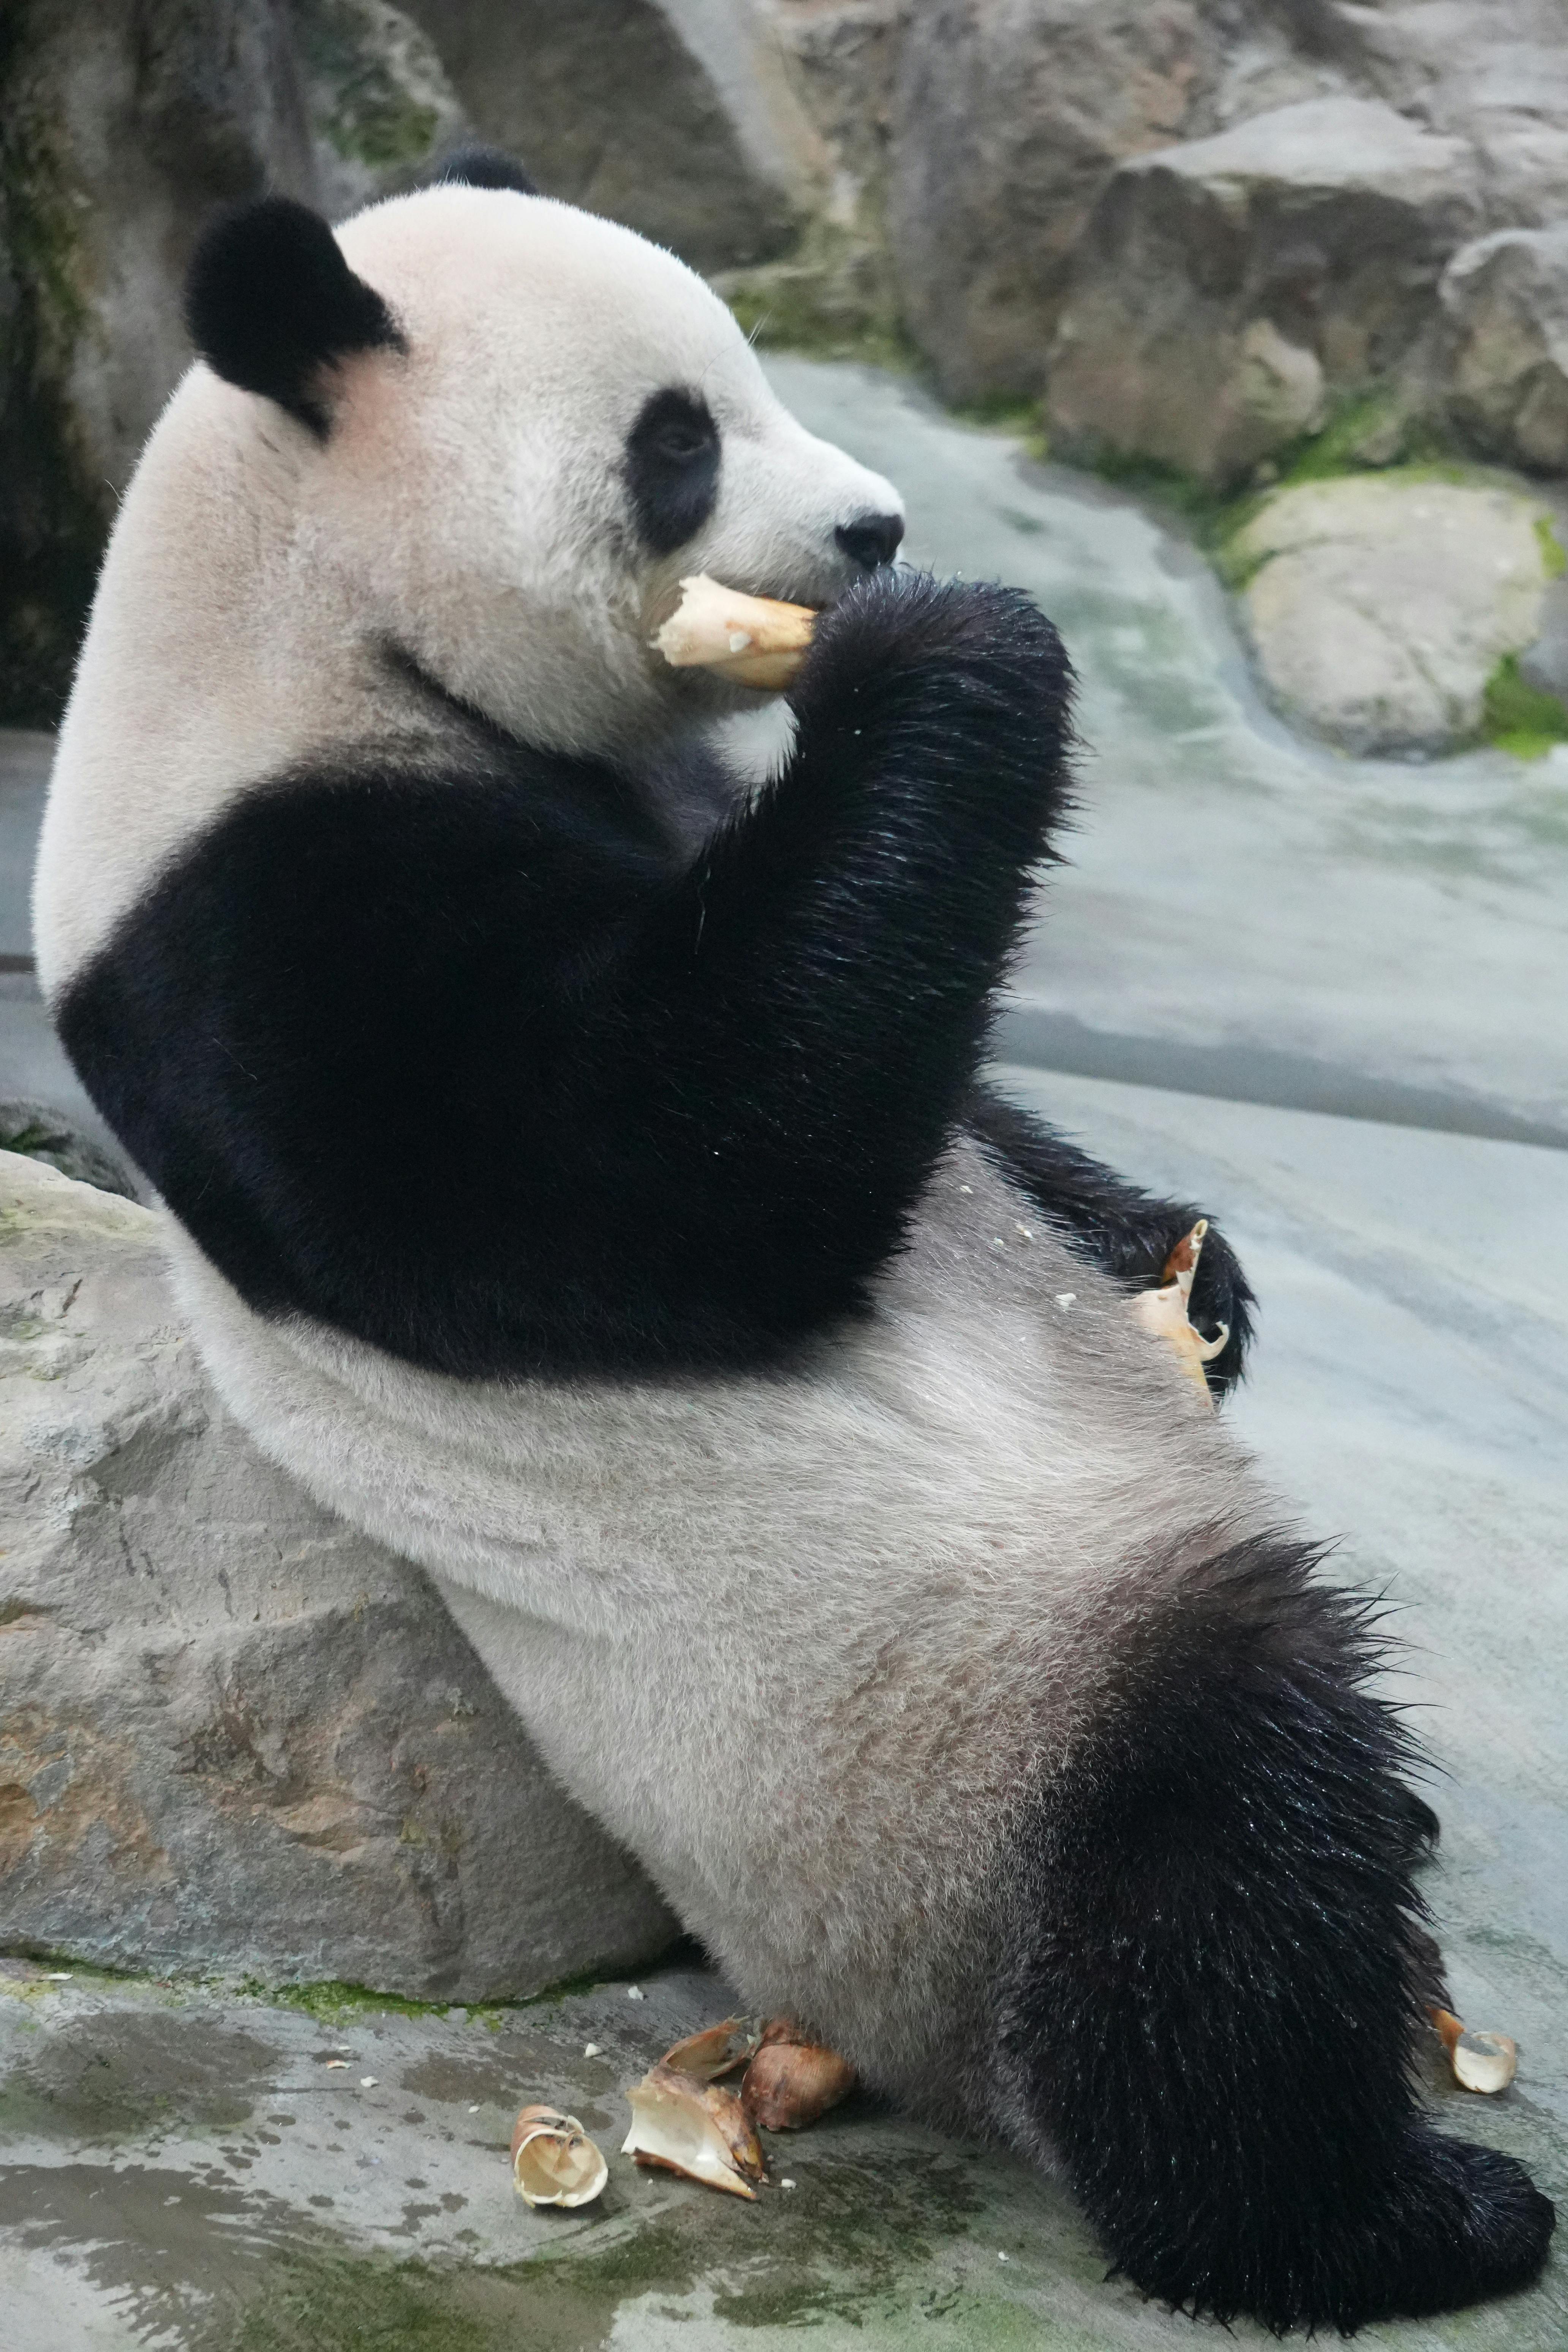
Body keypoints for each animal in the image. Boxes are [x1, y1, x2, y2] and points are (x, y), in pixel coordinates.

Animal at [32, 154, 1552, 2330]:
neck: (305, 618)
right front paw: (952, 652)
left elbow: (924, 1072)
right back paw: (1379, 2208)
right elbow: (683, 1169)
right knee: (1215, 1847)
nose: (877, 527)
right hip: (950, 1739)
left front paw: (1182, 1261)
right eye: (678, 438)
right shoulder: (267, 926)